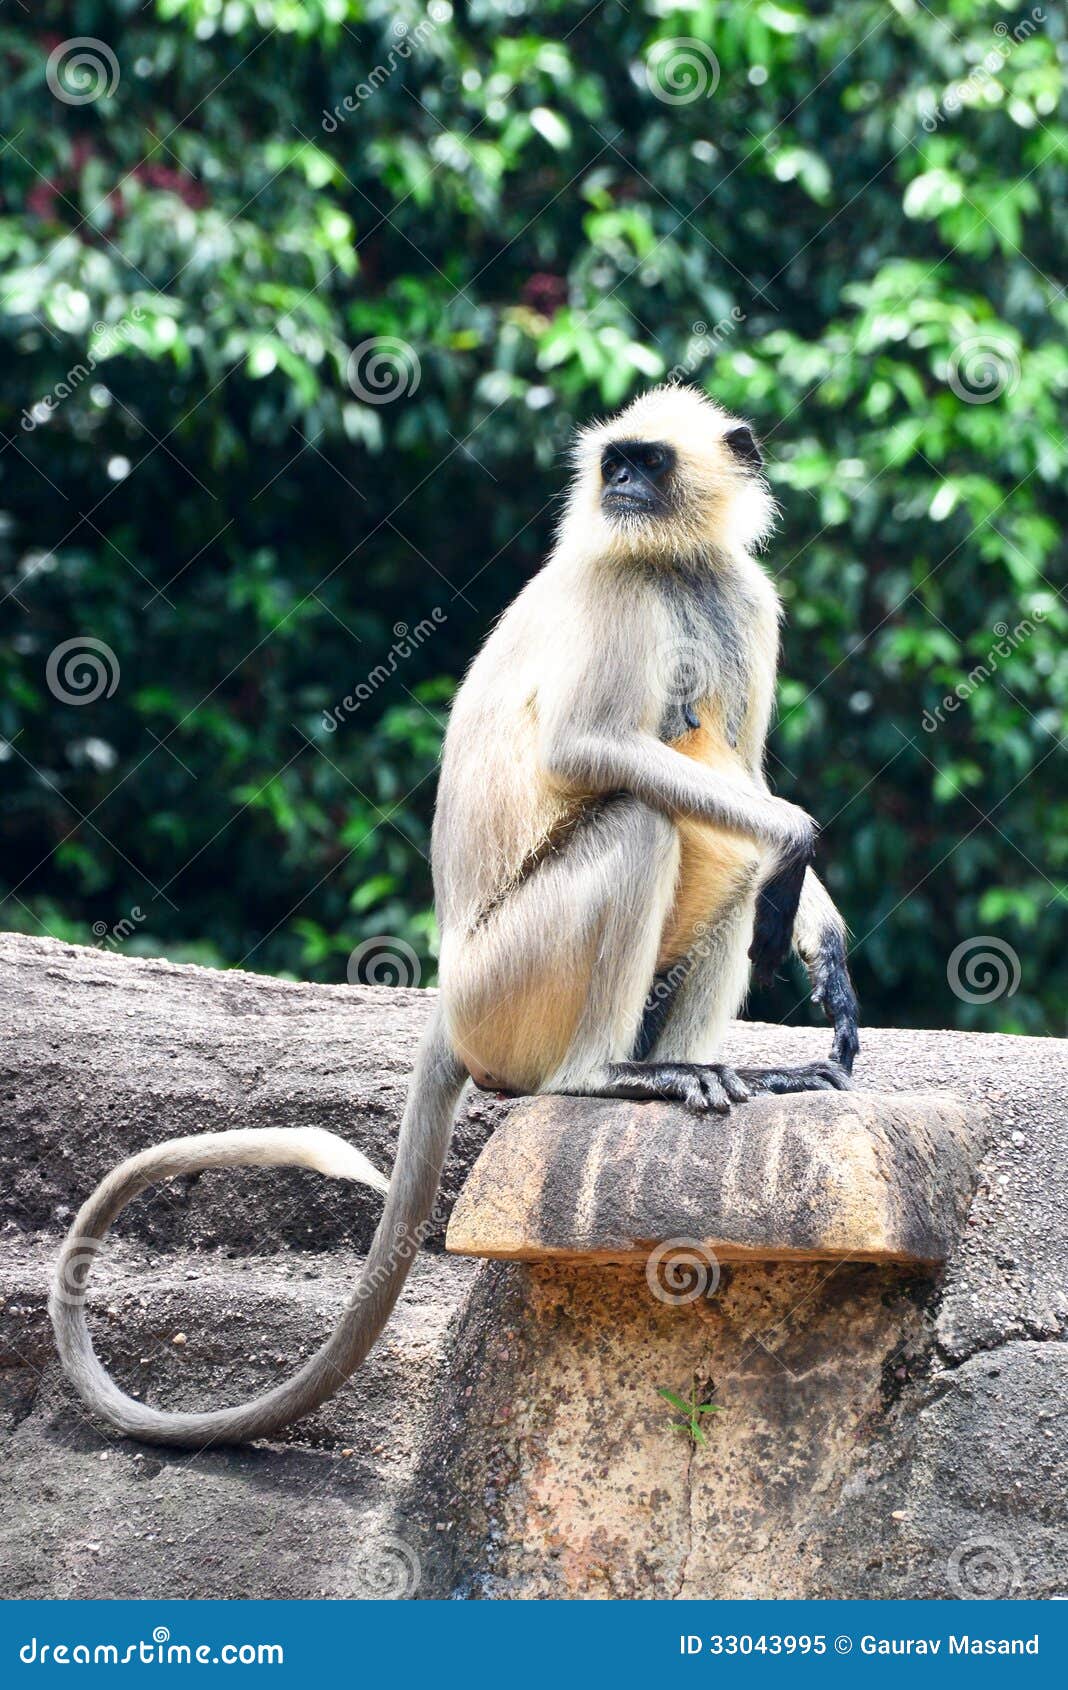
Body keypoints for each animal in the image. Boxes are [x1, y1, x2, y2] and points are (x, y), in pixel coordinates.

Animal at [51, 384, 859, 1447]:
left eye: (648, 463)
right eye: (616, 463)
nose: (623, 488)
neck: (677, 564)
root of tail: (448, 998)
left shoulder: (747, 599)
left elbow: (751, 789)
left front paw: (823, 941)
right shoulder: (619, 586)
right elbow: (594, 752)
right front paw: (801, 838)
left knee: (730, 862)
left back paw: (711, 1068)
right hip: (510, 982)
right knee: (647, 820)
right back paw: (607, 1076)